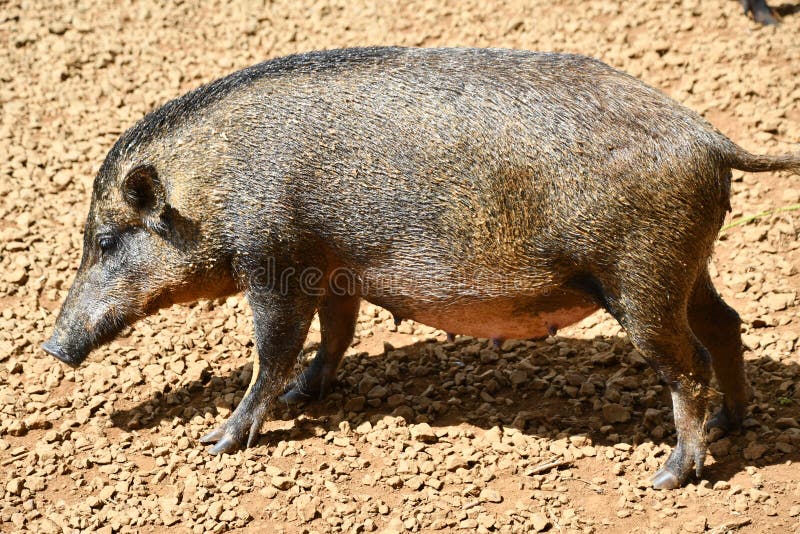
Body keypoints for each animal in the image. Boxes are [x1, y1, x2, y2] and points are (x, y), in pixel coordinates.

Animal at [43, 47, 800, 489]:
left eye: (105, 241)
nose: (52, 346)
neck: (215, 190)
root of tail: (710, 139)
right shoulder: (332, 266)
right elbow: (335, 335)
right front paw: (308, 396)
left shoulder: (276, 259)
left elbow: (274, 350)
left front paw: (218, 442)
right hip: (688, 265)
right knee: (726, 324)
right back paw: (732, 423)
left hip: (642, 274)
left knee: (686, 365)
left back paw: (669, 476)